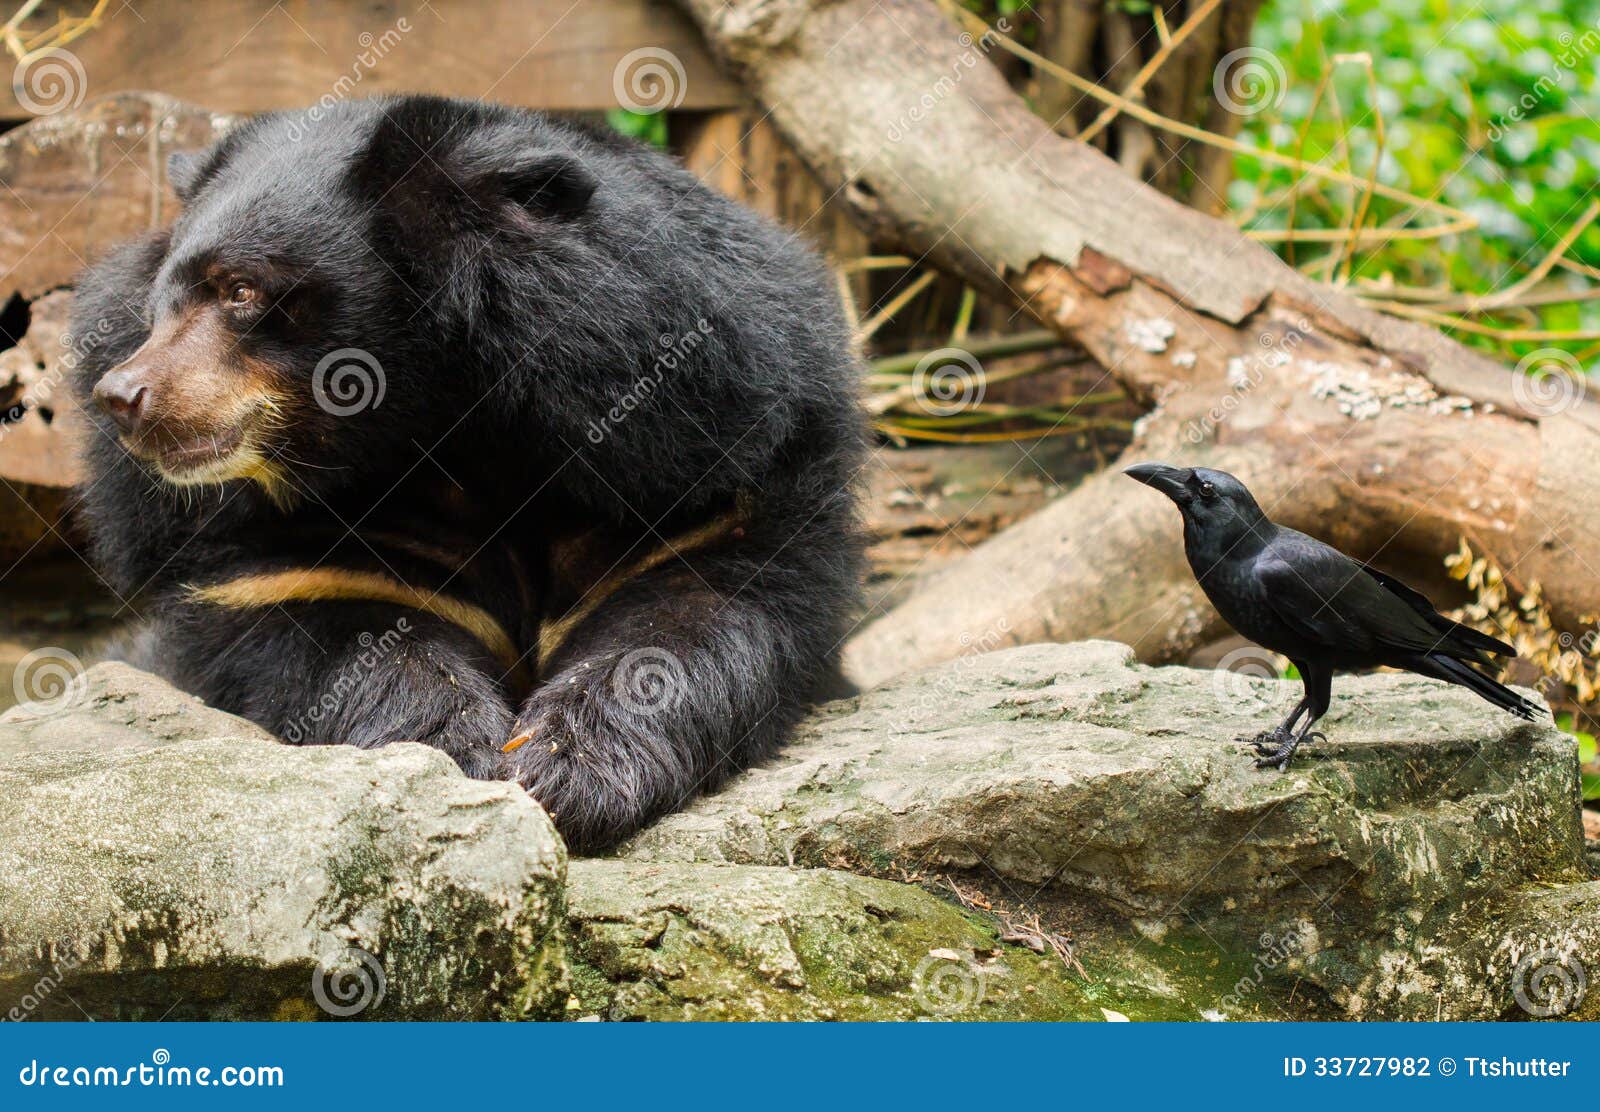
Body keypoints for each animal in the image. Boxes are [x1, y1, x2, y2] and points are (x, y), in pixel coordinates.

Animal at [68, 95, 865, 852]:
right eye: (160, 302)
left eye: (240, 290)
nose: (123, 396)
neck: (447, 428)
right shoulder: (270, 544)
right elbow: (335, 634)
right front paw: (462, 750)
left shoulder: (707, 459)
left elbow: (685, 620)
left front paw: (564, 769)